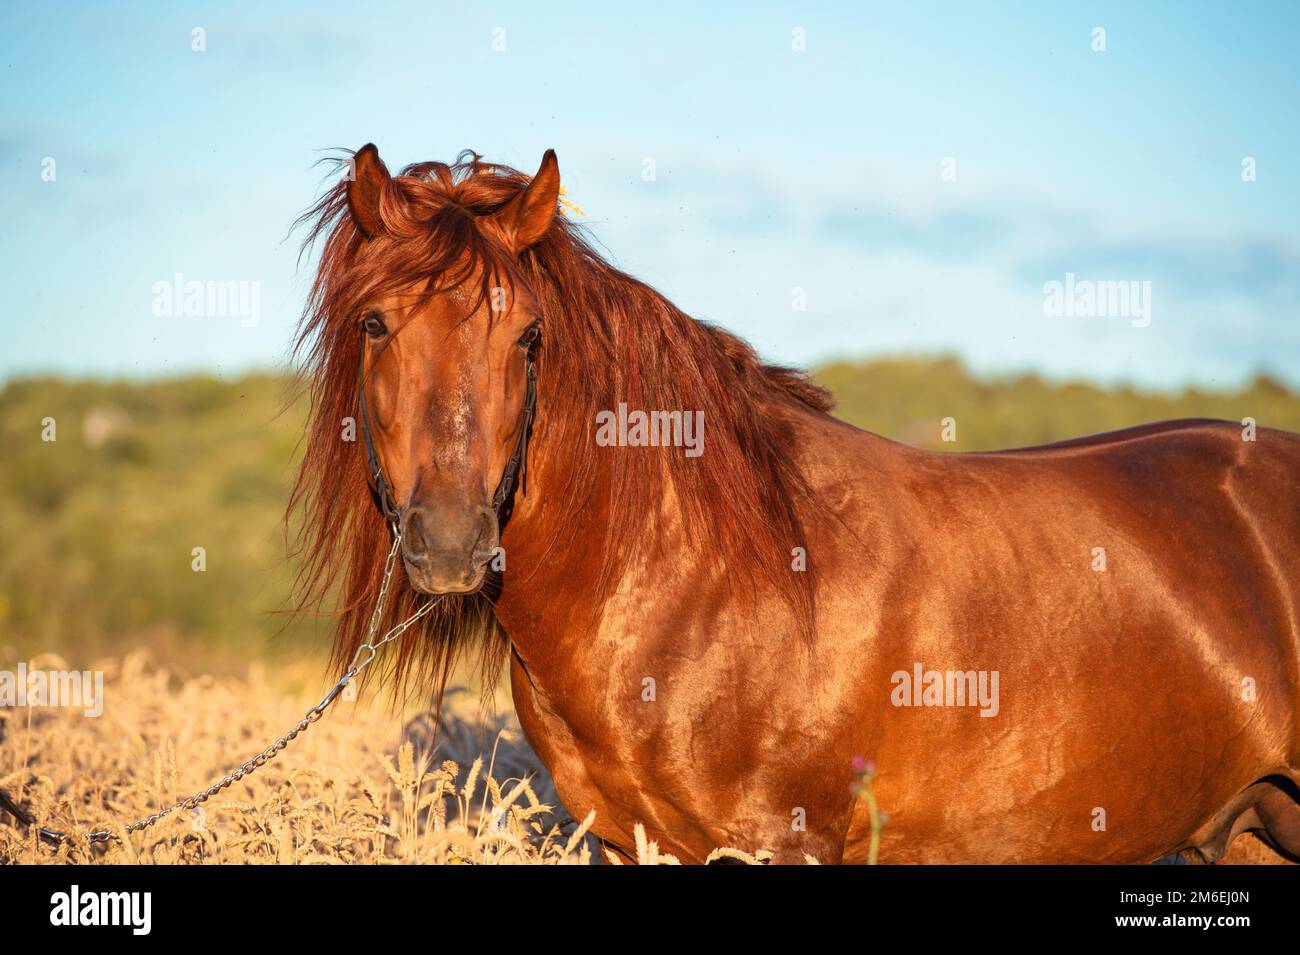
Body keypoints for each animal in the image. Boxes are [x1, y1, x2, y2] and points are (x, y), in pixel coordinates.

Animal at [288, 144, 1300, 864]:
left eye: (529, 335)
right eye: (375, 323)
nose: (452, 544)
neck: (691, 577)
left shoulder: (783, 840)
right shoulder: (630, 842)